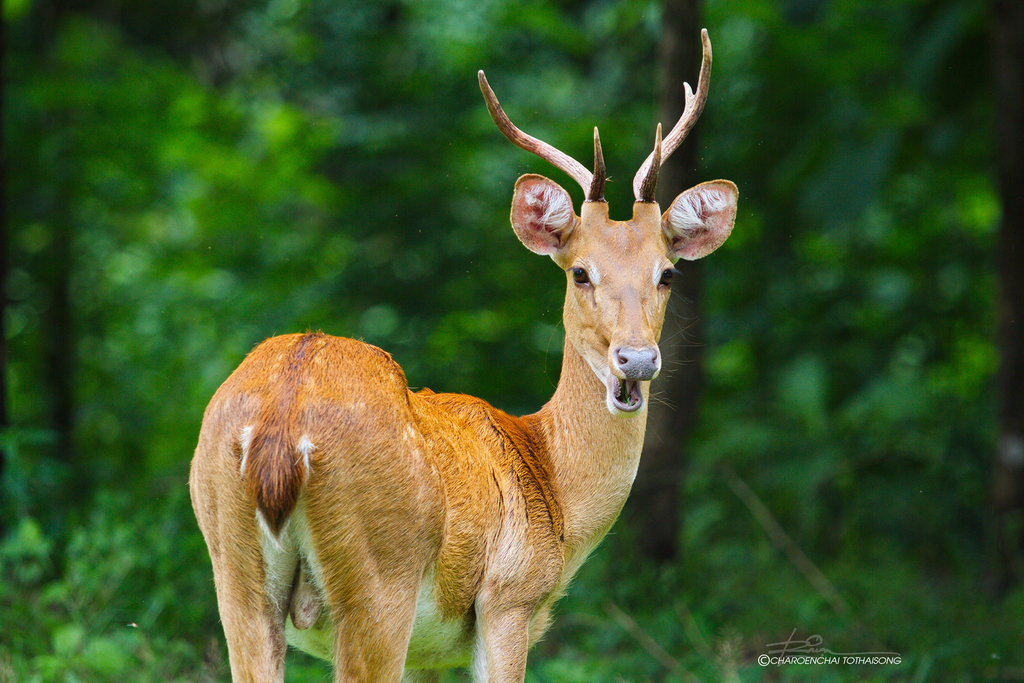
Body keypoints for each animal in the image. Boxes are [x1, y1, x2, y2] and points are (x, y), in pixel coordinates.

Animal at [190, 28, 737, 683]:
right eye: (580, 272)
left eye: (667, 274)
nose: (636, 359)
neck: (553, 480)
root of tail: (280, 422)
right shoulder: (508, 601)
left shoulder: (431, 654)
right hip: (380, 580)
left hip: (233, 570)